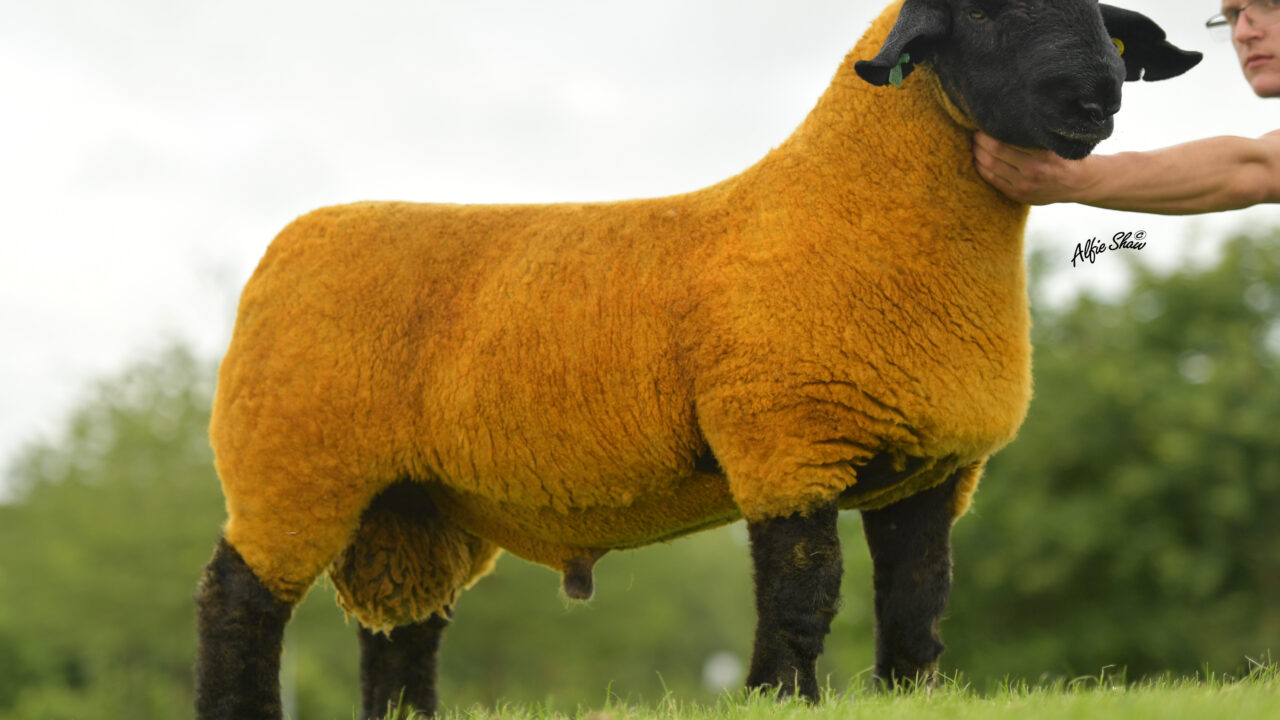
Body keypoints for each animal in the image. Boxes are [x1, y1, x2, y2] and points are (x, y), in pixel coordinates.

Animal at [194, 1, 1200, 717]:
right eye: (987, 13)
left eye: (1102, 20)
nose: (1096, 100)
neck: (854, 207)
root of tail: (293, 241)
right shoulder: (787, 439)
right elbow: (804, 591)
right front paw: (780, 699)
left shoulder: (931, 470)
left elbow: (918, 601)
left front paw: (908, 696)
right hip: (293, 466)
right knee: (237, 602)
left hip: (413, 505)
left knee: (402, 635)